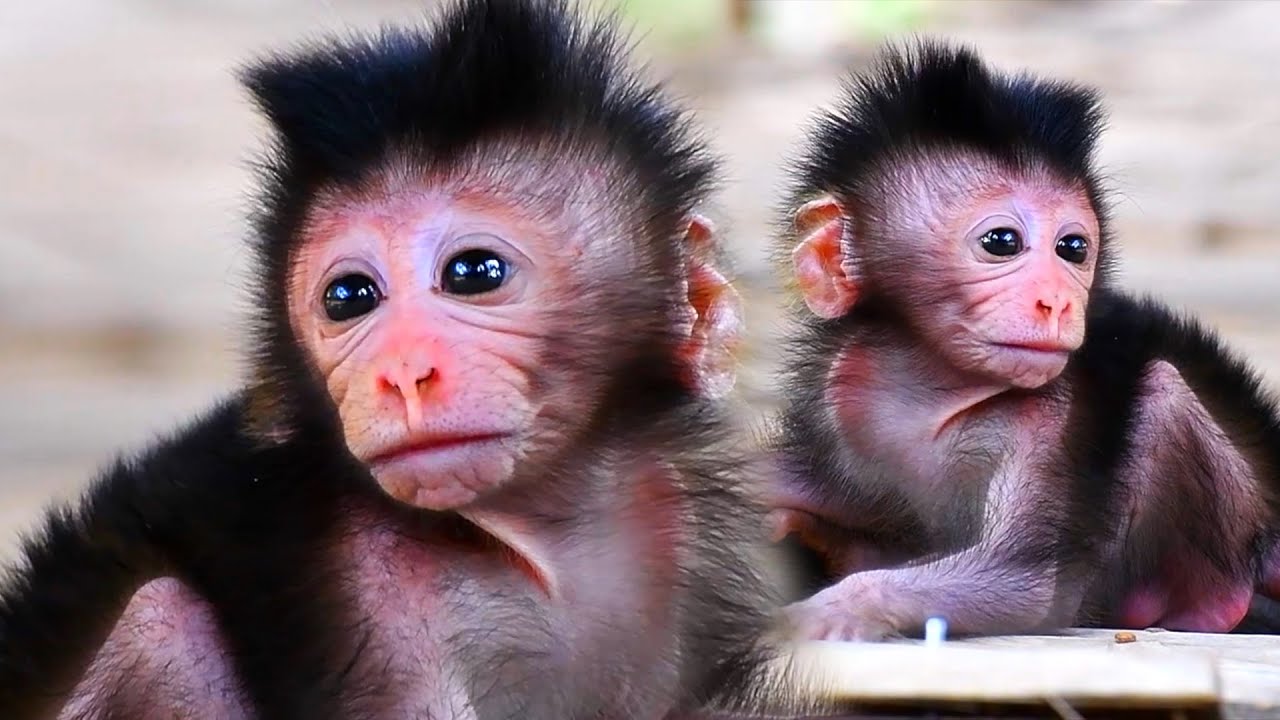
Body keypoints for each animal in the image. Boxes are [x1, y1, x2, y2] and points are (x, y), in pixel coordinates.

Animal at [0, 1, 826, 717]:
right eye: (349, 298)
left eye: (474, 274)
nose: (400, 371)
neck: (544, 533)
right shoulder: (371, 583)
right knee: (161, 622)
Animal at [765, 39, 1280, 642]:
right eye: (1001, 242)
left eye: (1073, 249)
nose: (1058, 301)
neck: (927, 385)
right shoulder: (834, 405)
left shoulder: (1050, 416)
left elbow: (1026, 585)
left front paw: (826, 611)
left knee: (1162, 392)